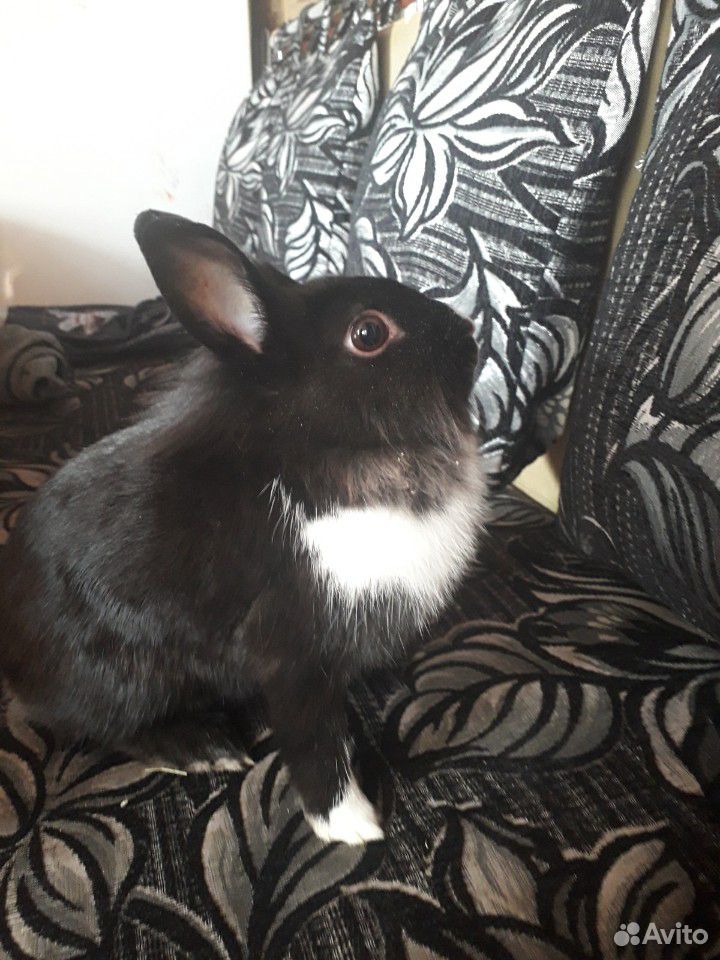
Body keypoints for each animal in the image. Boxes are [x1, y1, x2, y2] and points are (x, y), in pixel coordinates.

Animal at [0, 210, 487, 844]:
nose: (471, 335)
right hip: (121, 677)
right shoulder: (293, 655)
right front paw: (351, 825)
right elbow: (316, 742)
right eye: (368, 334)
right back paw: (199, 746)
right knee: (106, 727)